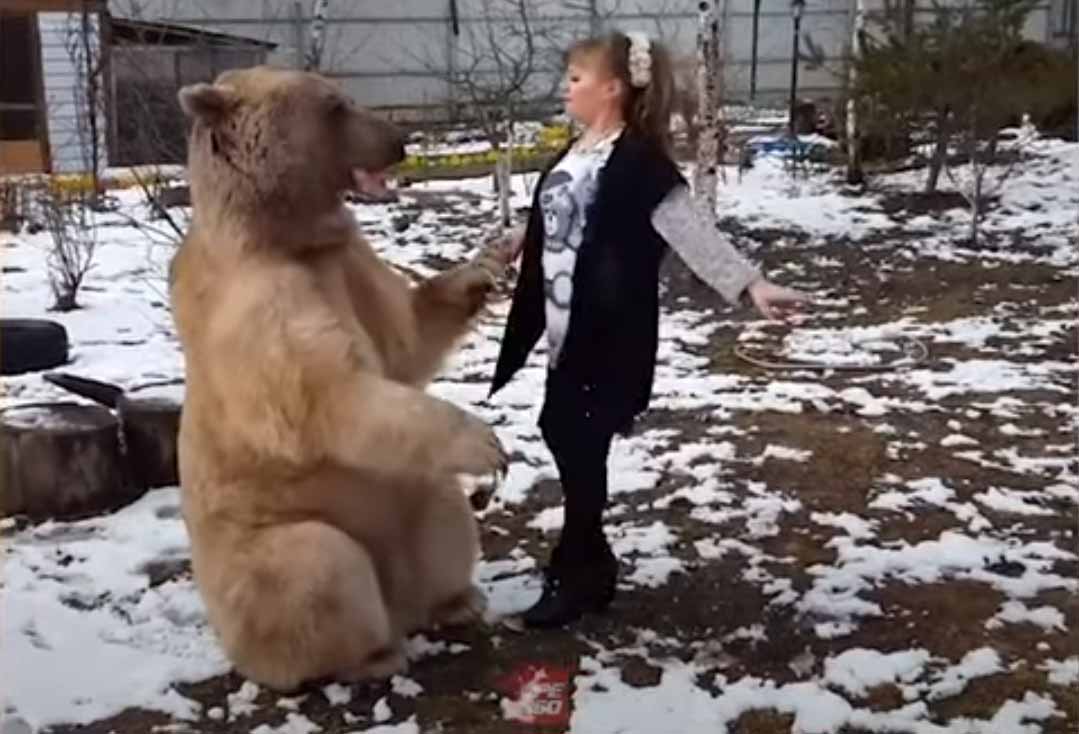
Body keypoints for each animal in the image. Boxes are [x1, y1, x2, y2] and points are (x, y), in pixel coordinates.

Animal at [168, 65, 509, 691]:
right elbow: (329, 392)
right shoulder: (262, 302)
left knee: (440, 512)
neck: (285, 235)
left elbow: (405, 338)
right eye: (333, 106)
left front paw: (489, 262)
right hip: (262, 556)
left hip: (406, 504)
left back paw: (455, 600)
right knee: (319, 569)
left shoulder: (349, 265)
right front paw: (484, 441)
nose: (400, 141)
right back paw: (371, 655)